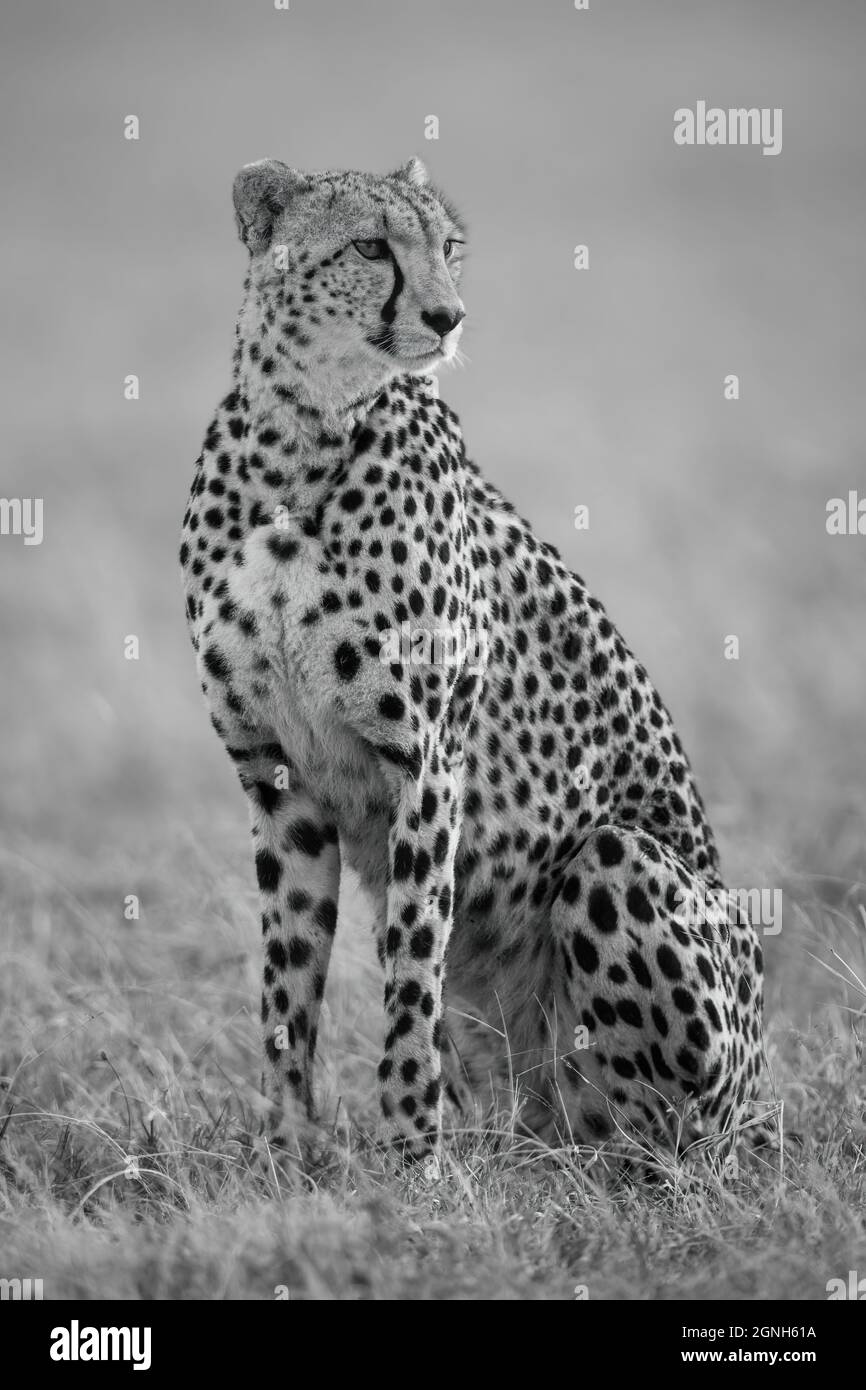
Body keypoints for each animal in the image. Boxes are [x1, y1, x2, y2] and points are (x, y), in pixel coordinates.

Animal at [180, 156, 766, 1164]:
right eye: (370, 247)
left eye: (448, 247)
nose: (449, 316)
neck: (300, 441)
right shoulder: (278, 779)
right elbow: (287, 985)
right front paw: (284, 1148)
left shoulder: (427, 760)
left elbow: (412, 964)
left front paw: (411, 1152)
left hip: (623, 868)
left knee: (669, 1142)